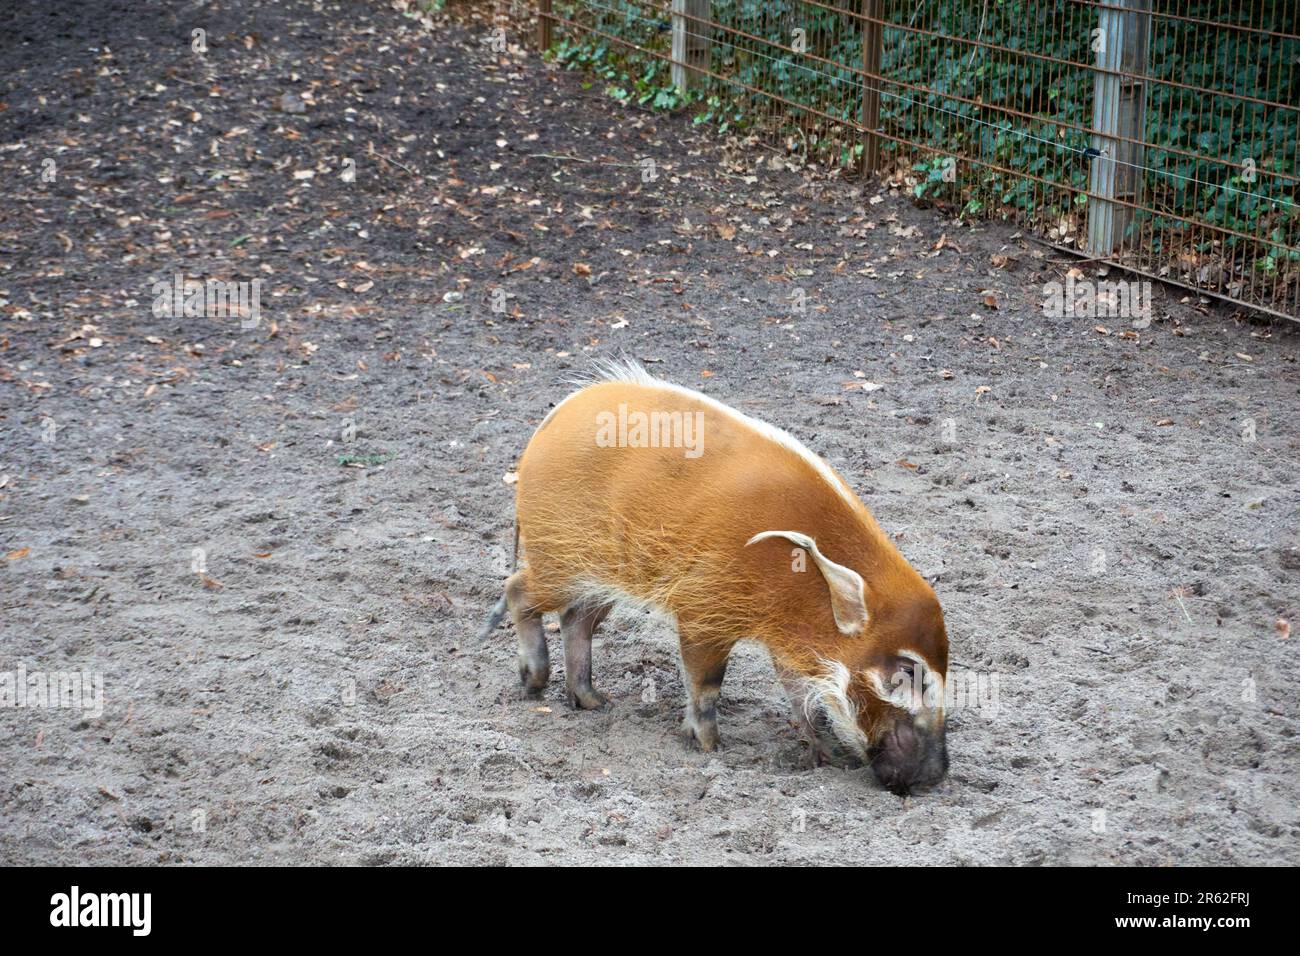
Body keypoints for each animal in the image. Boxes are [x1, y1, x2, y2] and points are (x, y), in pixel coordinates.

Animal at [481, 360, 949, 794]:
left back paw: (593, 701)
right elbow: (707, 683)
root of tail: (553, 418)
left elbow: (803, 696)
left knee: (576, 619)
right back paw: (534, 683)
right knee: (518, 590)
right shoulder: (704, 612)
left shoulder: (791, 640)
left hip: (602, 576)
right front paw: (709, 746)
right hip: (559, 560)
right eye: (908, 671)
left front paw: (829, 757)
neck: (807, 580)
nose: (935, 777)